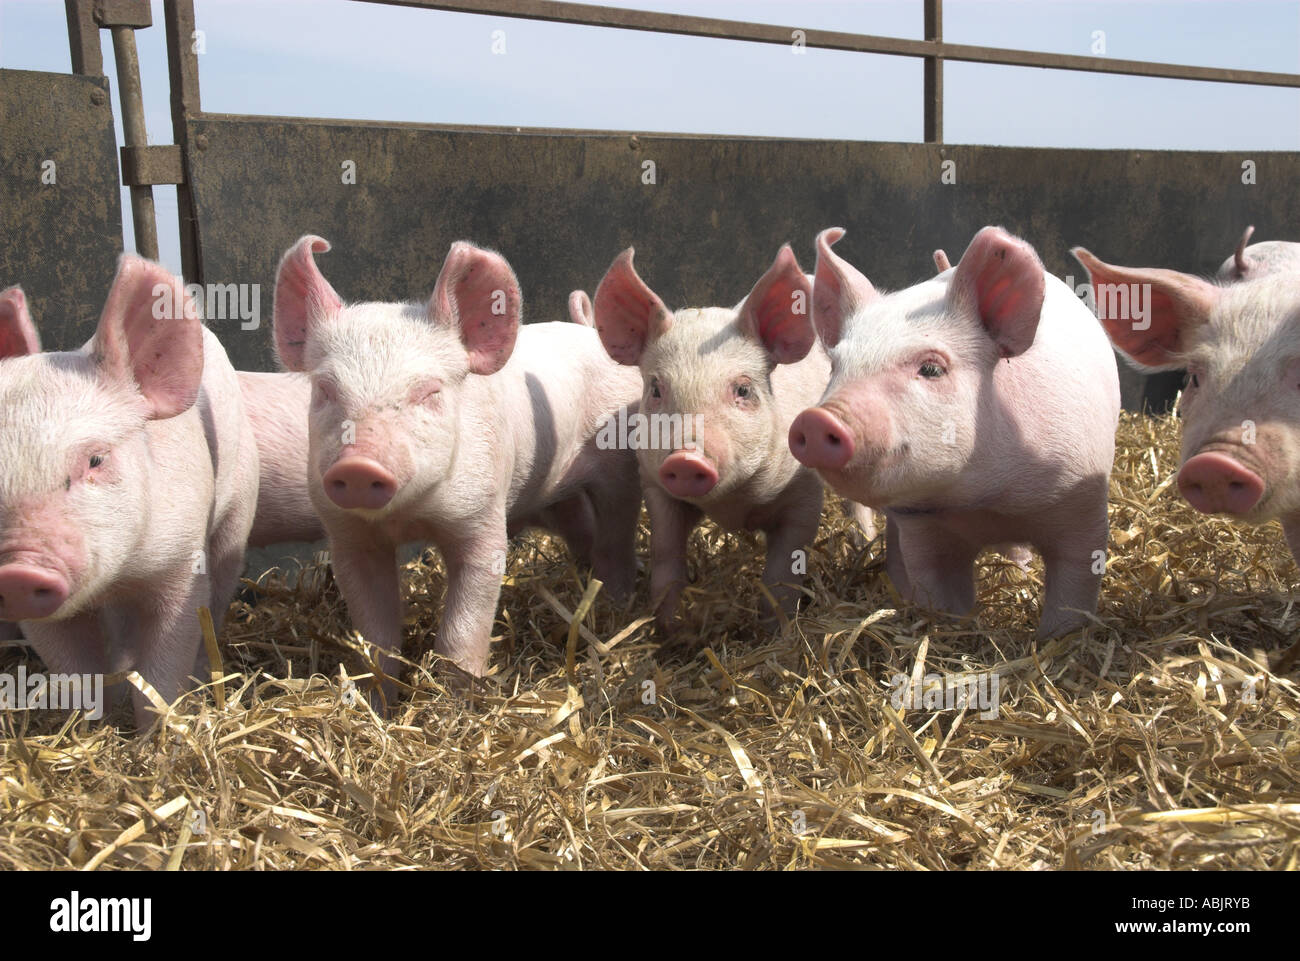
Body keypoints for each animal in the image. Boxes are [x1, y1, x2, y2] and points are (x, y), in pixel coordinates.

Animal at [0, 267, 259, 728]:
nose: (15, 571)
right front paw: (96, 725)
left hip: (237, 510)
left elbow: (163, 666)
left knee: (221, 590)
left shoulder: (181, 563)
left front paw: (155, 732)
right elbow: (75, 670)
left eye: (96, 459)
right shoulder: (43, 620)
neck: (119, 576)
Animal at [272, 236, 642, 701]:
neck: (409, 518)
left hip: (621, 466)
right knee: (582, 531)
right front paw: (379, 702)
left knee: (617, 534)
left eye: (429, 392)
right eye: (324, 390)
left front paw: (454, 695)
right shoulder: (348, 537)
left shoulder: (482, 512)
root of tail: (591, 332)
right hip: (559, 495)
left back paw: (617, 604)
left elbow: (467, 620)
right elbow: (374, 630)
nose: (358, 464)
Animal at [589, 243, 869, 627]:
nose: (687, 458)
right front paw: (669, 629)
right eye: (656, 389)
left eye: (743, 389)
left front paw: (776, 630)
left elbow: (783, 572)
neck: (732, 505)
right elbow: (666, 555)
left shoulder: (804, 493)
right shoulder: (655, 485)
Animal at [790, 226, 1120, 637]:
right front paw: (950, 627)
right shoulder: (922, 524)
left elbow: (1075, 584)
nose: (816, 420)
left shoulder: (1081, 502)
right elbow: (939, 590)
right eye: (835, 366)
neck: (986, 500)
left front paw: (1059, 639)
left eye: (932, 368)